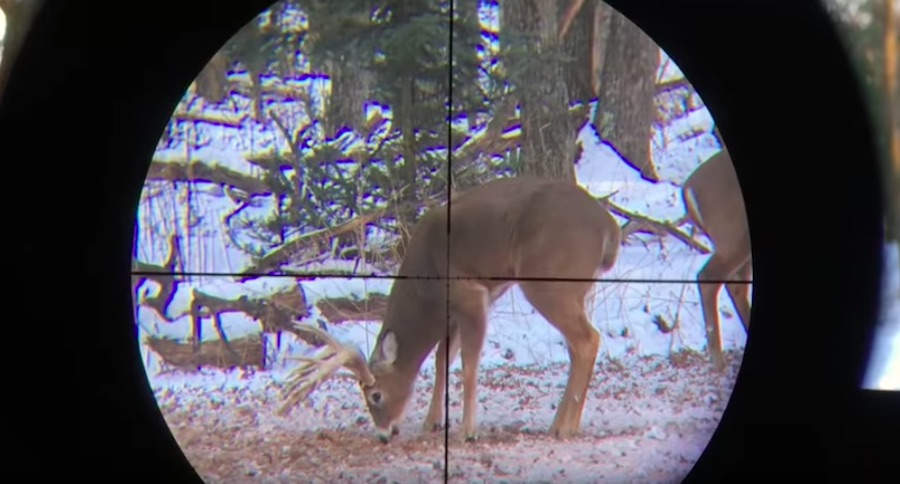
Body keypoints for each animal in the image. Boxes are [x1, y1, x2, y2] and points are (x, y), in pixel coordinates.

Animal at [277, 175, 622, 444]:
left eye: (375, 395)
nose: (384, 434)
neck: (424, 287)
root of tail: (609, 227)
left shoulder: (470, 294)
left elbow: (468, 364)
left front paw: (468, 431)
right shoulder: (453, 313)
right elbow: (443, 360)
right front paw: (433, 422)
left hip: (549, 282)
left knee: (587, 340)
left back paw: (564, 428)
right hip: (578, 290)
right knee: (577, 346)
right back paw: (560, 425)